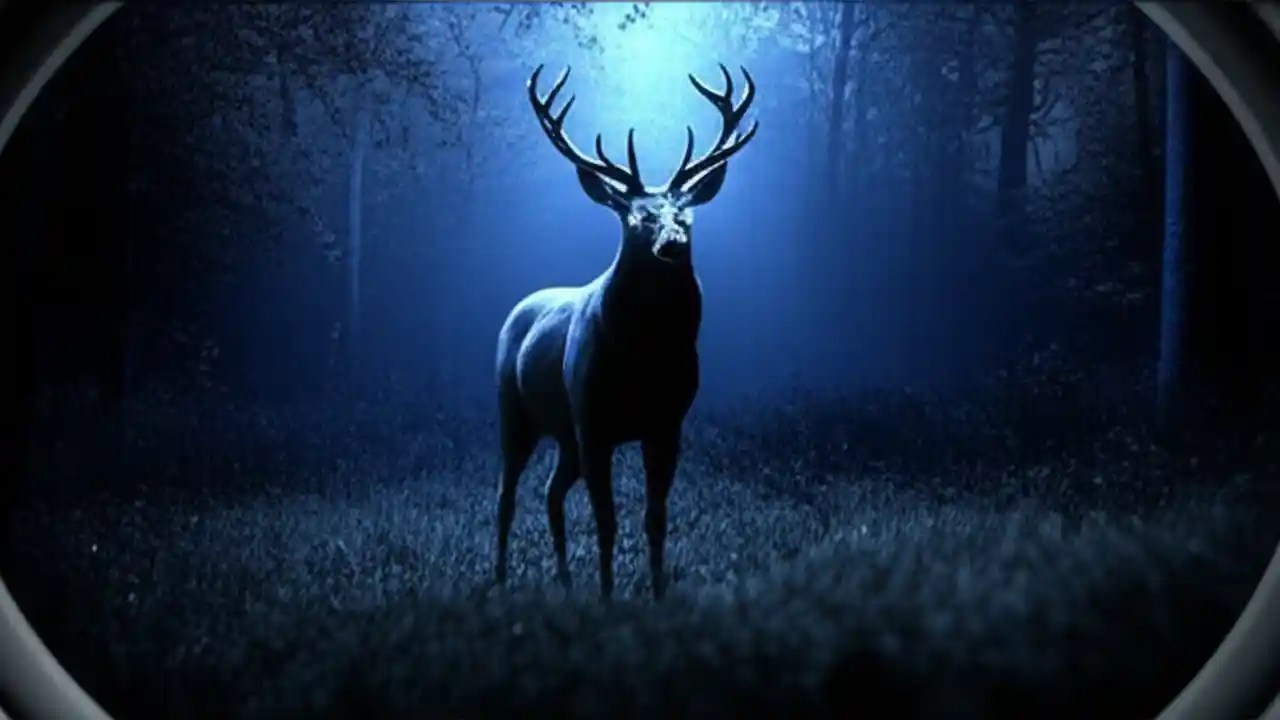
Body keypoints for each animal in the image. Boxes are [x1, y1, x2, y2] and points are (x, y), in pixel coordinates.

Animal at [493, 63, 758, 600]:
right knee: (506, 494)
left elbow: (655, 518)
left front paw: (656, 593)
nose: (671, 245)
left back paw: (564, 579)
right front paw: (608, 595)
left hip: (566, 434)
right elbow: (606, 520)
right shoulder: (593, 419)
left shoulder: (667, 423)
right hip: (515, 408)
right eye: (637, 217)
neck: (644, 356)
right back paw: (500, 578)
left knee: (552, 491)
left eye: (686, 214)